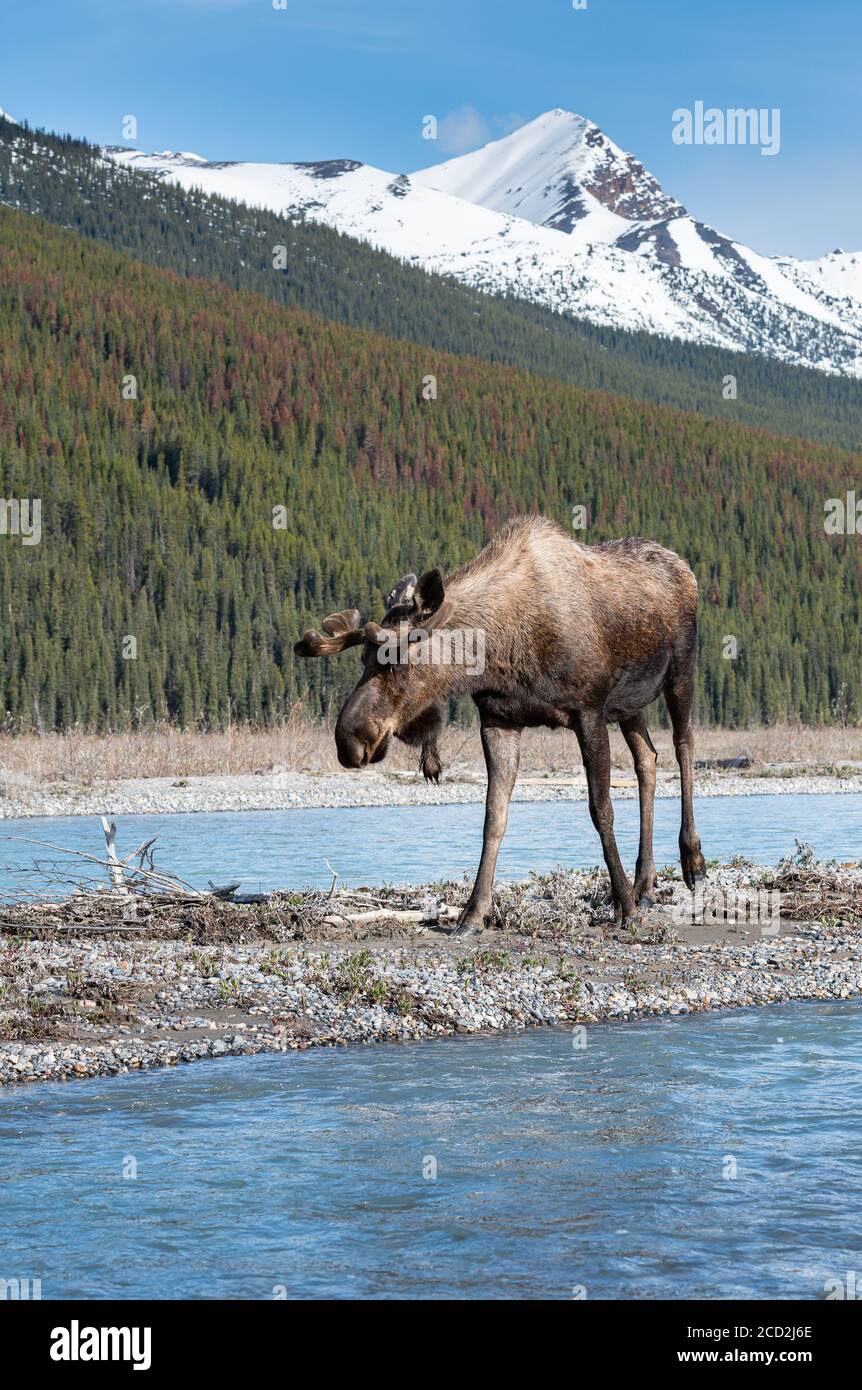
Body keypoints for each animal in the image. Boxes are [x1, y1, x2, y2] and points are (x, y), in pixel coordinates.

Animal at [295, 516, 706, 936]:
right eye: (363, 658)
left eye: (396, 660)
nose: (349, 739)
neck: (498, 651)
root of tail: (684, 568)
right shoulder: (499, 720)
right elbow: (493, 818)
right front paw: (473, 913)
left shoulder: (589, 712)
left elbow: (601, 809)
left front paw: (624, 906)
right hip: (627, 704)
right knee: (647, 759)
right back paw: (645, 884)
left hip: (680, 673)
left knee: (683, 745)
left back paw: (690, 859)